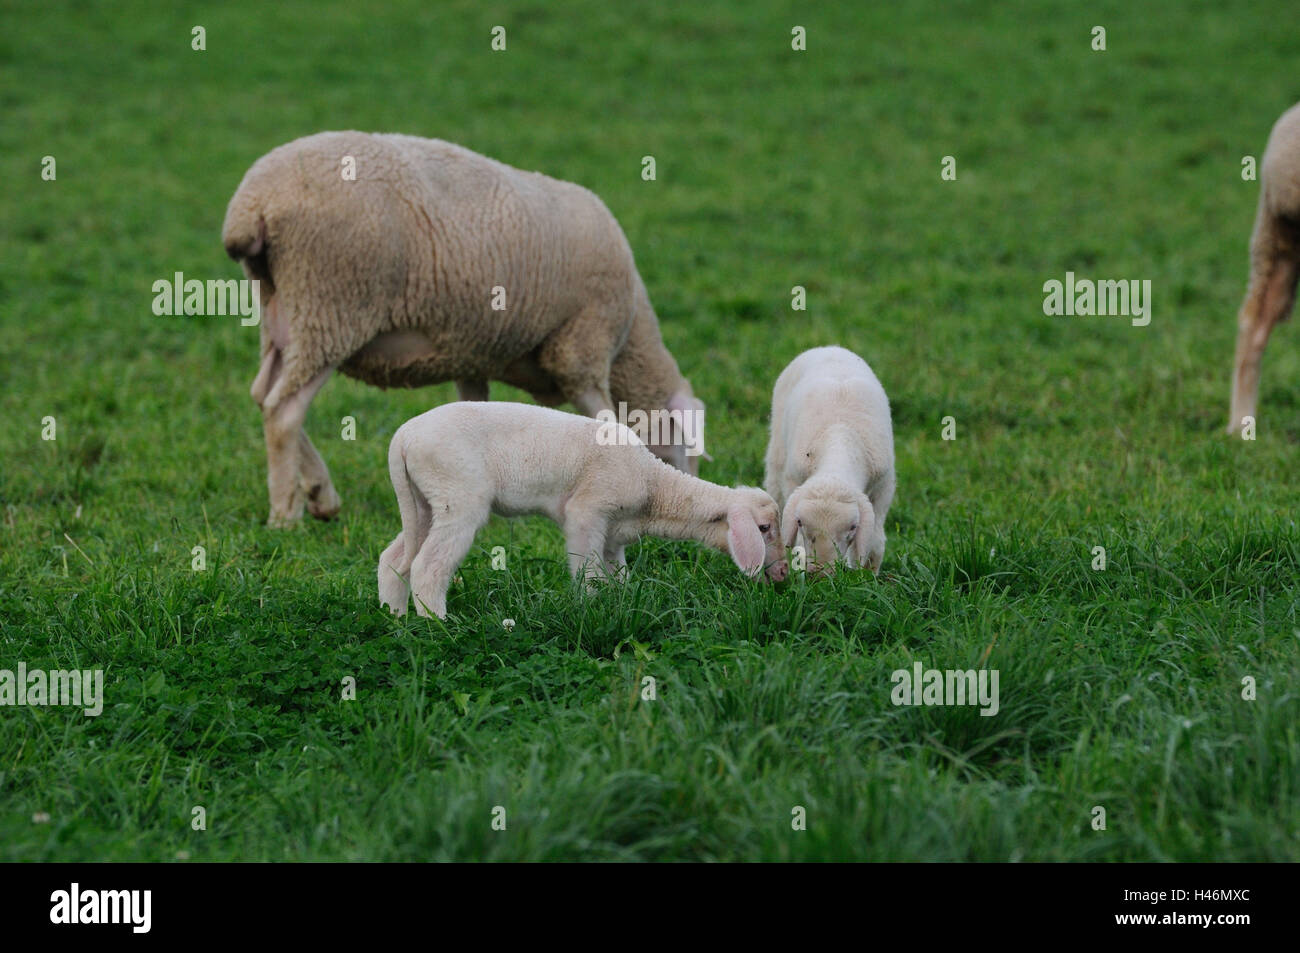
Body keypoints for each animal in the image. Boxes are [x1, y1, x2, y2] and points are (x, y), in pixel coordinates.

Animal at [222, 131, 706, 527]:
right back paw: (286, 514)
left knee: (263, 395)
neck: (632, 341)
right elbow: (606, 420)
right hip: (331, 303)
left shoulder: (474, 356)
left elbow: (477, 408)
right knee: (284, 410)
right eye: (686, 451)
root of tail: (253, 205)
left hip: (285, 313)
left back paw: (321, 496)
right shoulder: (579, 347)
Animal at [378, 401, 788, 619]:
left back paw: (395, 618)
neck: (655, 488)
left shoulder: (614, 533)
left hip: (424, 500)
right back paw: (440, 626)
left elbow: (617, 575)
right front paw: (589, 608)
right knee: (427, 567)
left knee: (394, 559)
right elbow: (587, 572)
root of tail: (402, 438)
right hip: (458, 495)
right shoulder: (587, 512)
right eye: (764, 528)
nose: (784, 572)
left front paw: (620, 604)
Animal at [763, 346, 895, 575]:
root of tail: (827, 348)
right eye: (799, 522)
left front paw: (868, 575)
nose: (822, 574)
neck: (840, 433)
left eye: (853, 527)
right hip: (777, 450)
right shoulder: (792, 478)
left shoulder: (884, 486)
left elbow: (874, 544)